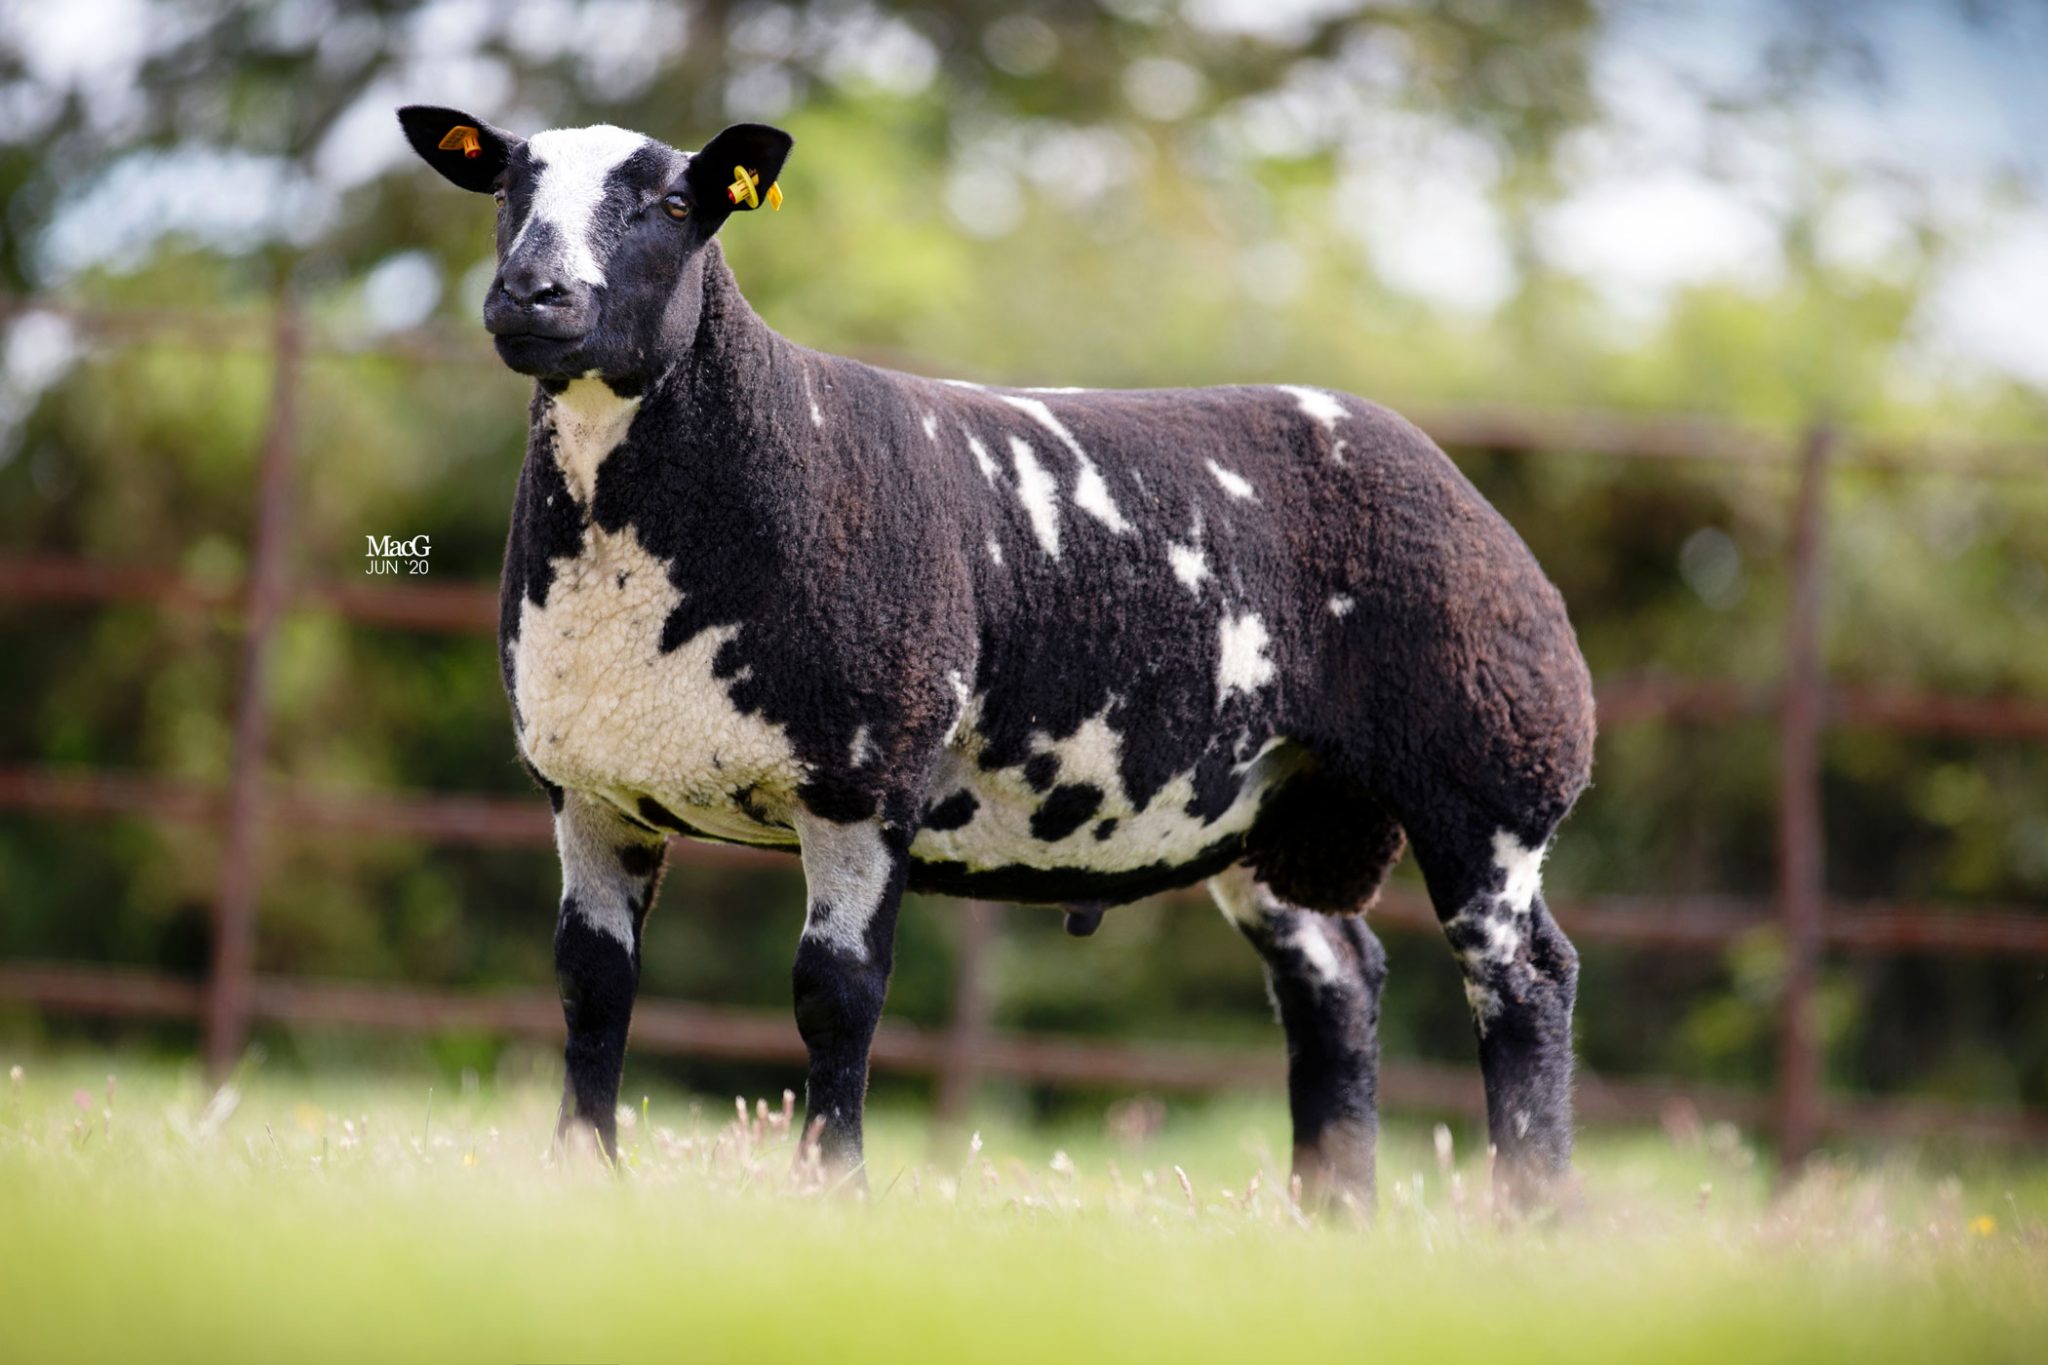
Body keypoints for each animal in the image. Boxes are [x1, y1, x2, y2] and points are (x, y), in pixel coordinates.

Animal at [399, 106, 1596, 1211]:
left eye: (673, 203)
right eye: (506, 188)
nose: (532, 296)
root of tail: (1438, 462)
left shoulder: (866, 778)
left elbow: (836, 991)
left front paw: (831, 1191)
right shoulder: (592, 787)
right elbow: (592, 986)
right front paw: (582, 1185)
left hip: (1489, 767)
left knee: (1522, 978)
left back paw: (1528, 1216)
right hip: (1267, 802)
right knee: (1335, 982)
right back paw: (1332, 1215)